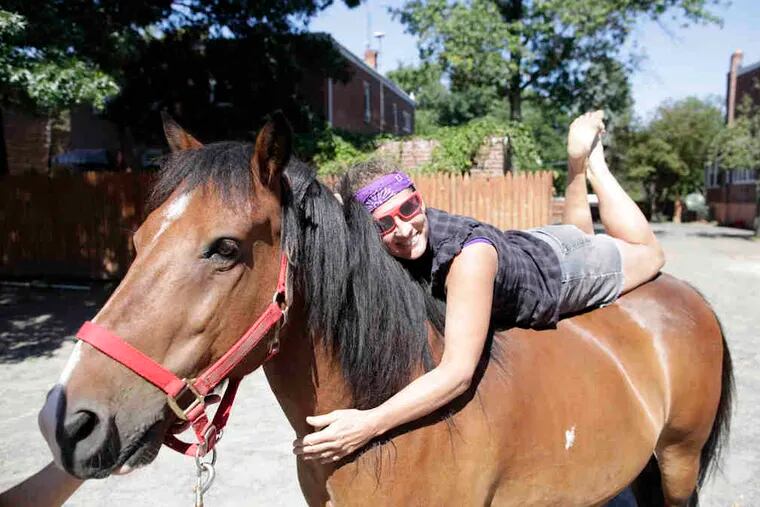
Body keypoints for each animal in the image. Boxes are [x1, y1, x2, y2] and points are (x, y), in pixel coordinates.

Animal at [38, 113, 733, 506]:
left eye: (226, 248)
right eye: (137, 240)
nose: (68, 421)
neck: (392, 417)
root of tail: (681, 293)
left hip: (677, 461)